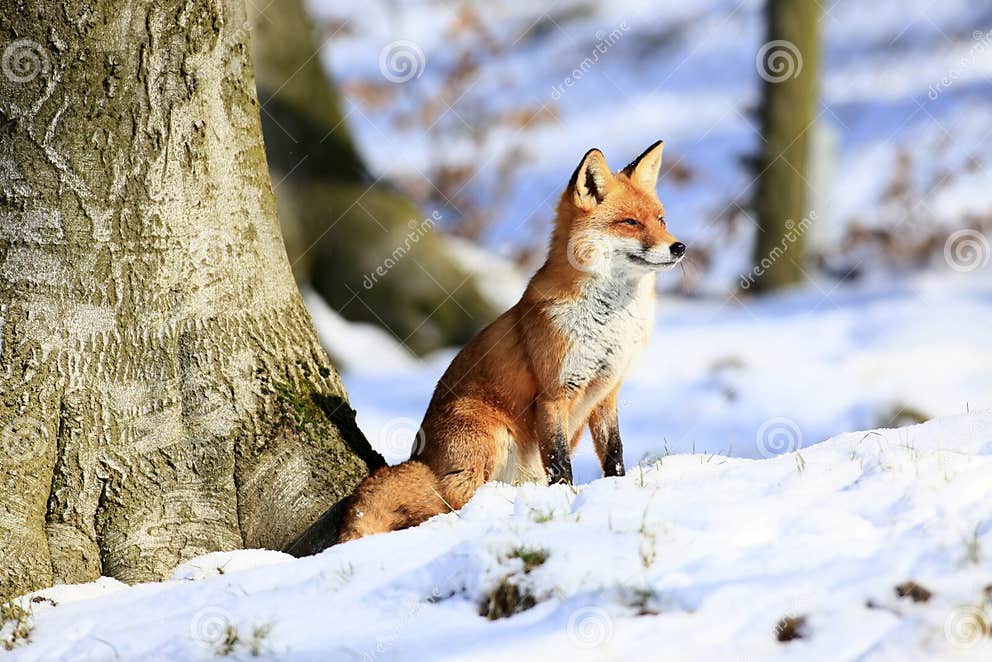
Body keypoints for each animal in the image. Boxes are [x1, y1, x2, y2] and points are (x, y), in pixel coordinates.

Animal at [337, 140, 685, 542]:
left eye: (661, 220)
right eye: (630, 222)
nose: (679, 247)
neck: (608, 322)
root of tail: (420, 457)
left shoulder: (606, 392)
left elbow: (614, 455)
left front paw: (616, 489)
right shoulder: (553, 395)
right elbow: (560, 464)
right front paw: (565, 503)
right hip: (491, 438)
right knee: (449, 501)